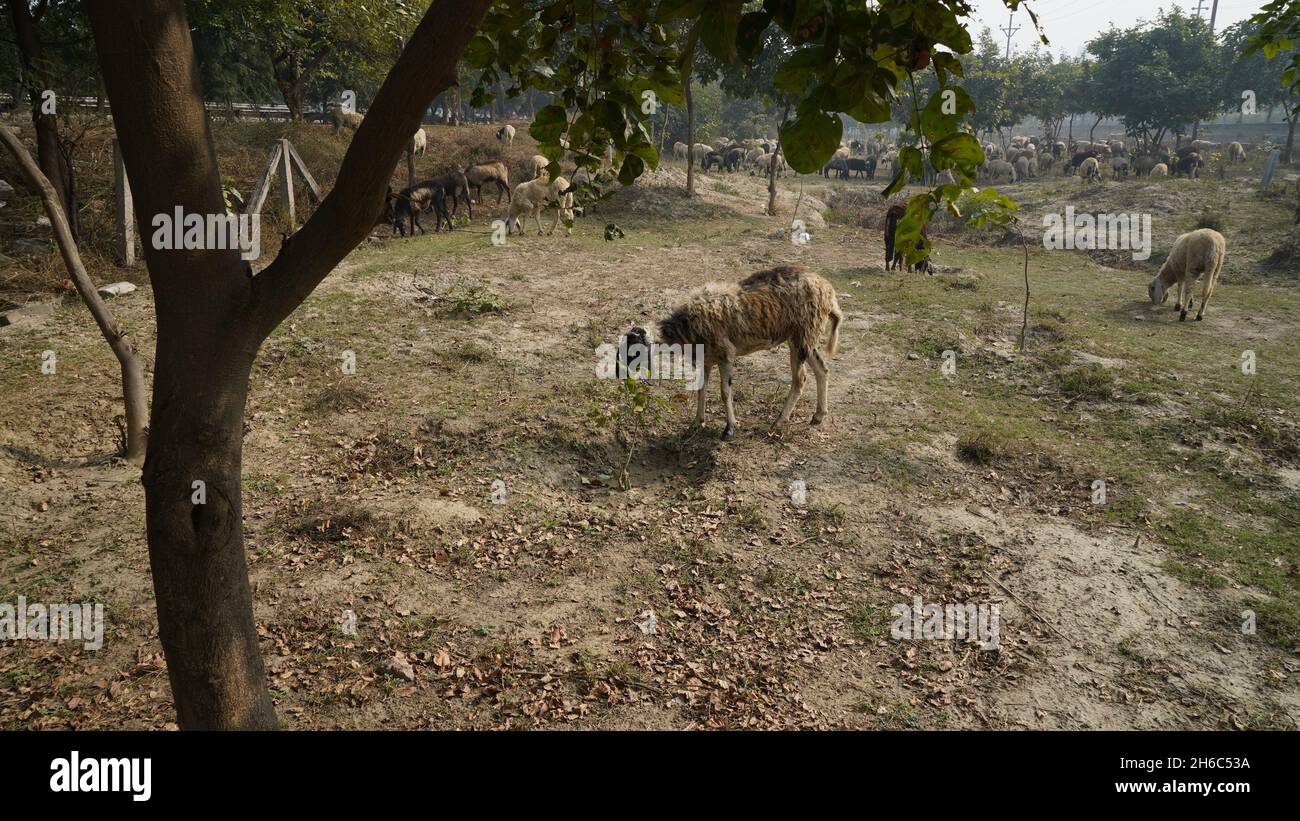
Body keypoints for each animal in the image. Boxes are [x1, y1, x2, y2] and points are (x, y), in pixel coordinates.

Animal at [618, 266, 842, 440]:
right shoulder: (705, 359)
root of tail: (829, 290)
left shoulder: (725, 355)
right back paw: (818, 415)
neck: (684, 326)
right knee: (822, 369)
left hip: (801, 336)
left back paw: (778, 422)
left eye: (633, 350)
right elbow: (701, 389)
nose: (621, 375)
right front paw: (697, 422)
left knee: (800, 379)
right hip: (806, 337)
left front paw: (729, 429)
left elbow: (725, 392)